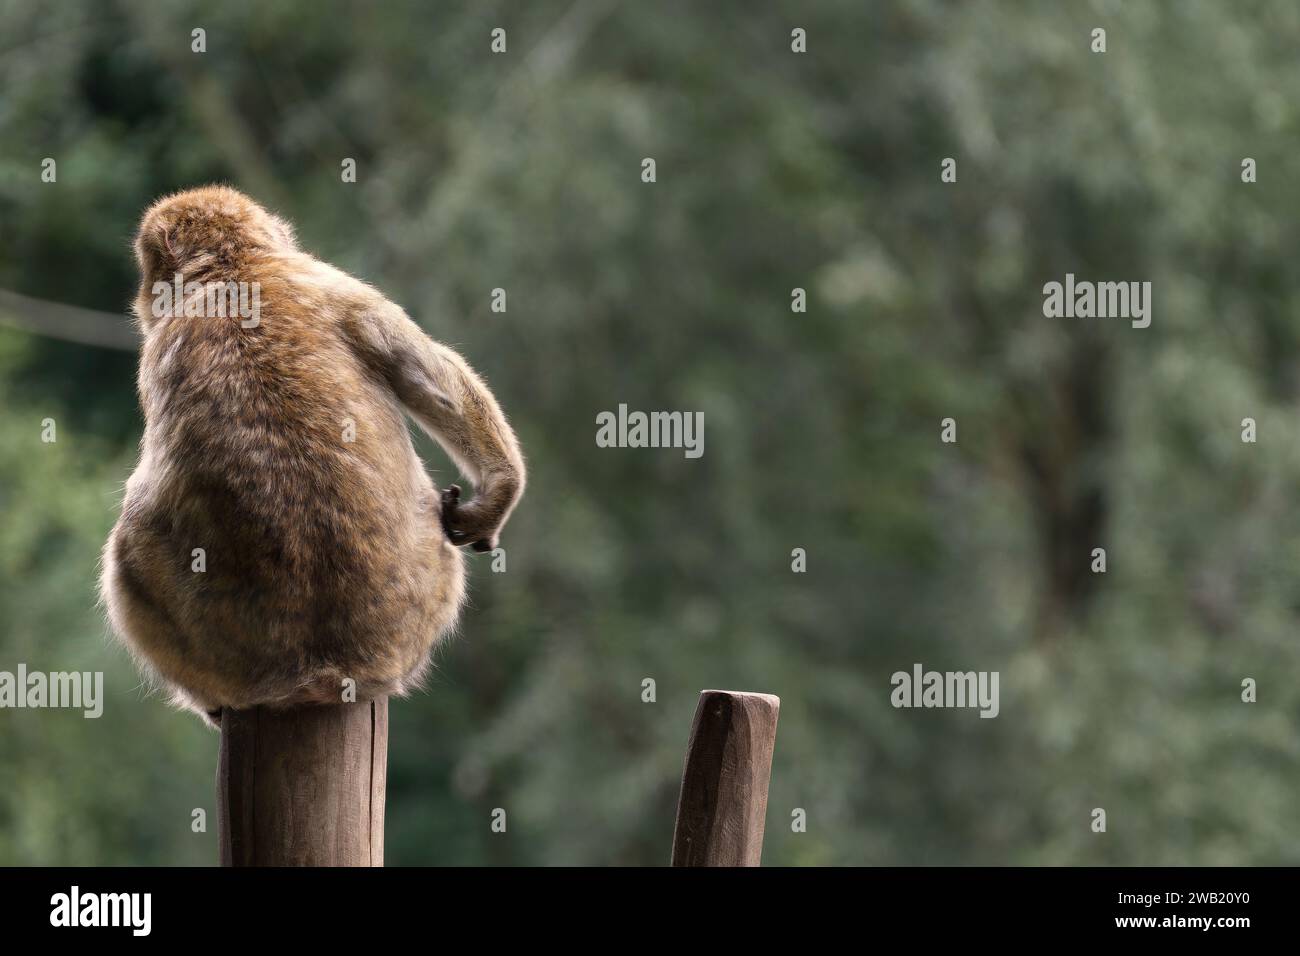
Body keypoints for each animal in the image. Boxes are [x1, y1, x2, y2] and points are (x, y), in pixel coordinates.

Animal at [100, 185, 525, 725]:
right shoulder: (327, 283)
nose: (141, 296)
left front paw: (500, 489)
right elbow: (428, 376)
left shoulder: (322, 282)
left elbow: (432, 376)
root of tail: (324, 667)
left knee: (129, 548)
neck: (232, 271)